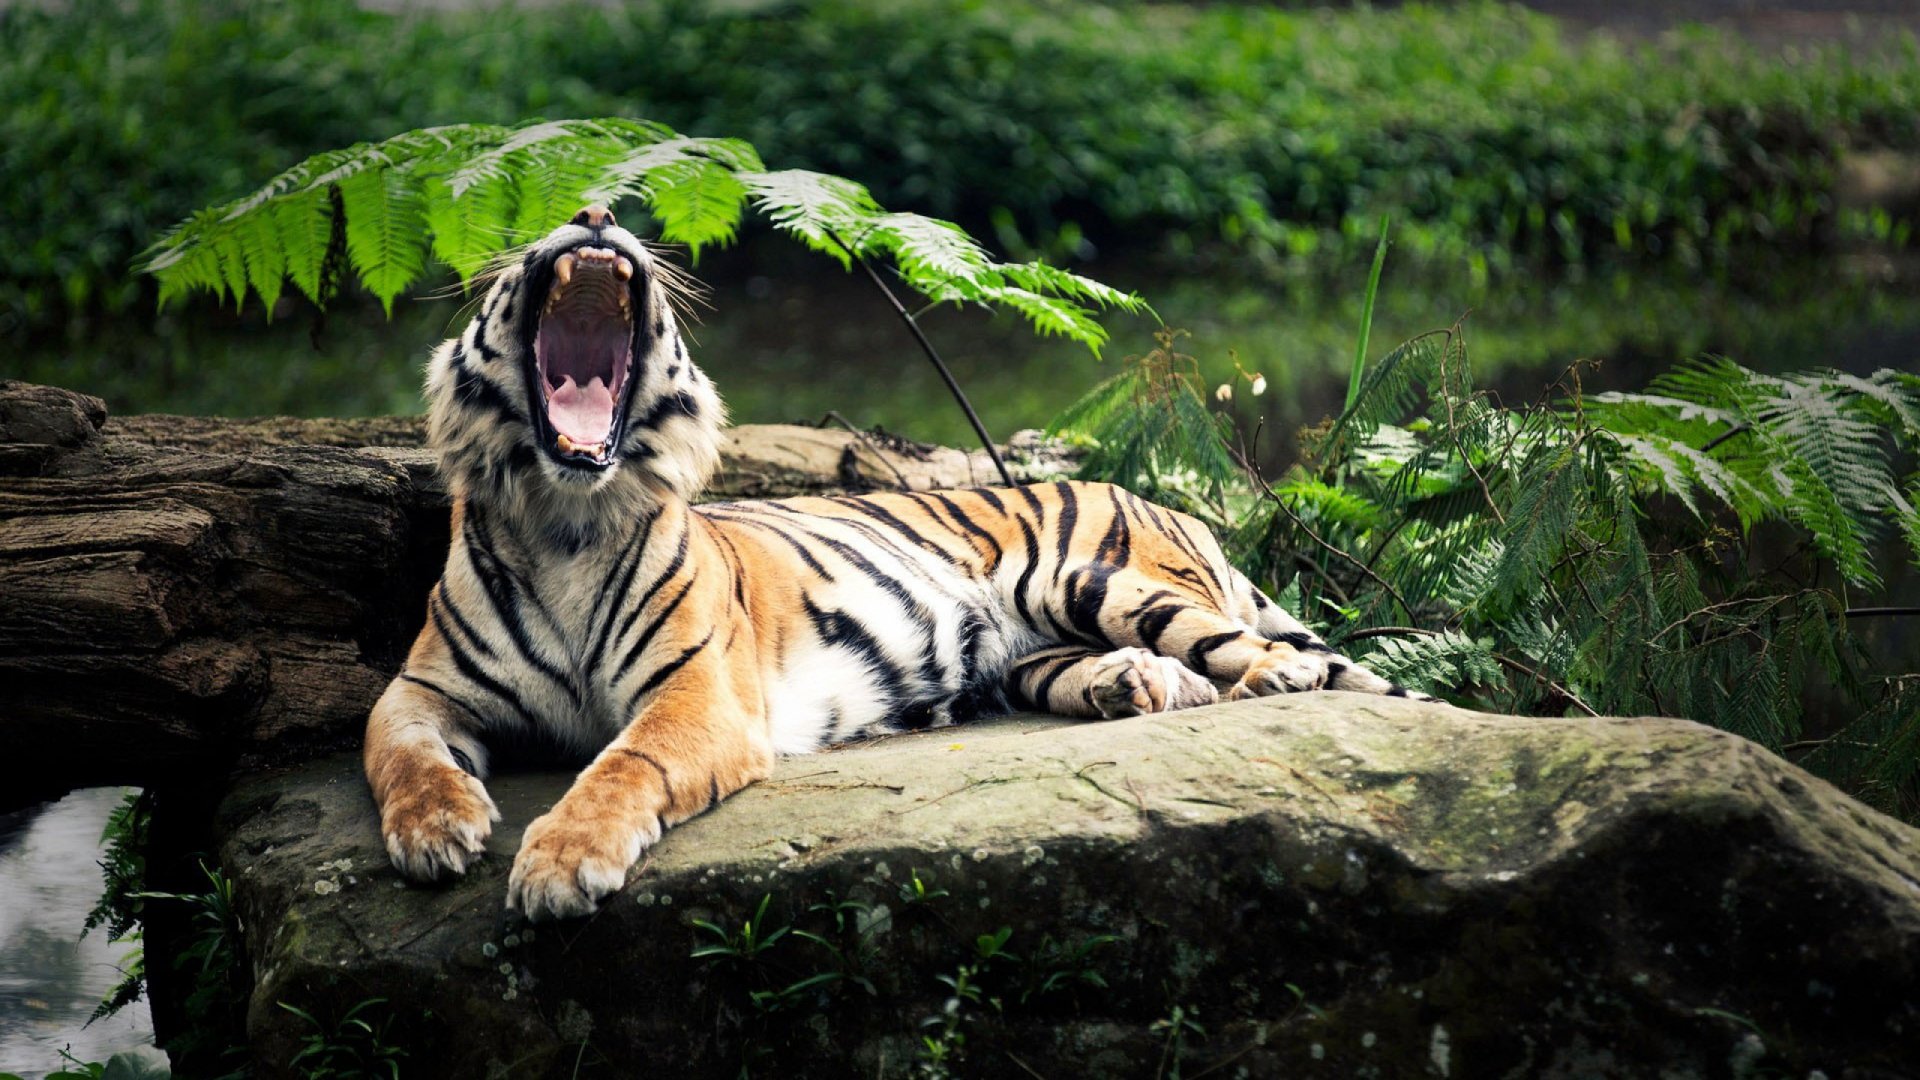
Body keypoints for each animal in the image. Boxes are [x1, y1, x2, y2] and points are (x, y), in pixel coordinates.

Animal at [364, 204, 1437, 922]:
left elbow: (624, 763)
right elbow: (395, 749)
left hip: (1084, 577)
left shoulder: (697, 694)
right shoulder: (424, 687)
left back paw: (1270, 676)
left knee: (1258, 652)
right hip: (1033, 651)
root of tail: (1166, 501)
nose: (595, 213)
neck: (566, 516)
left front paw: (556, 864)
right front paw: (436, 829)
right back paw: (1132, 688)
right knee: (1165, 676)